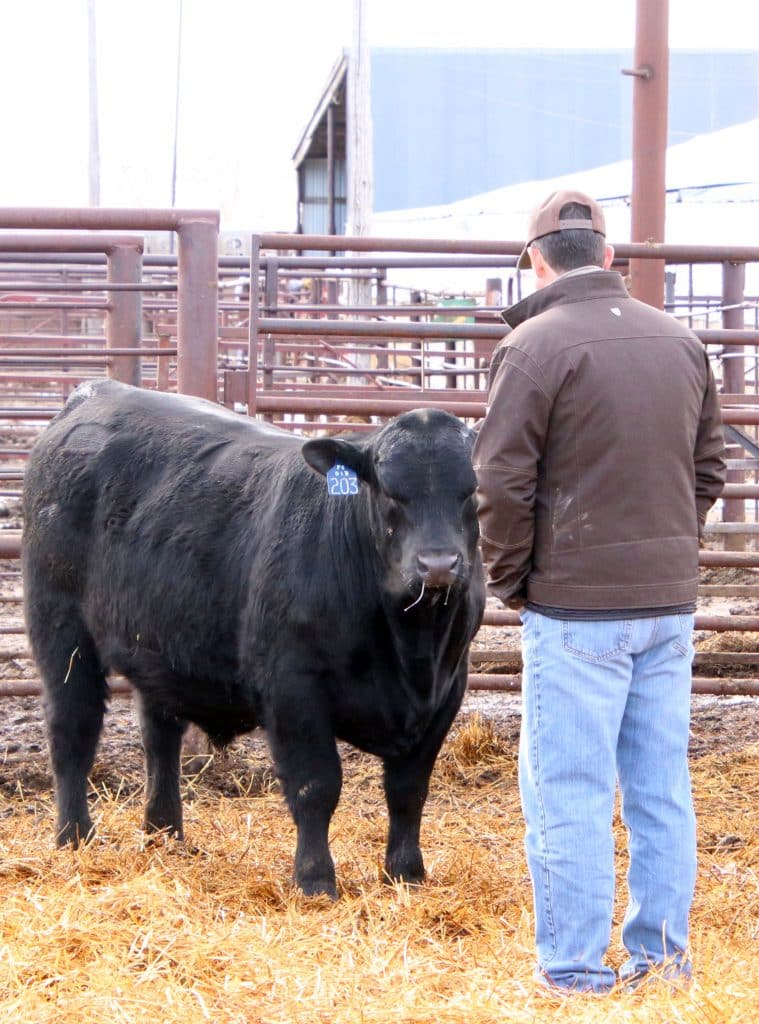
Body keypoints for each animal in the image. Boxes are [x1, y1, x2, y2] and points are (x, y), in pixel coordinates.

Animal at [22, 380, 485, 897]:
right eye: (389, 491)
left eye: (471, 489)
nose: (439, 564)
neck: (411, 642)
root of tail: (95, 391)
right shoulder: (293, 686)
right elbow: (316, 786)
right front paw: (315, 880)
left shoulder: (447, 688)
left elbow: (408, 790)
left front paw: (406, 874)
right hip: (60, 630)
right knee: (72, 730)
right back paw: (74, 838)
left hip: (160, 647)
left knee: (160, 740)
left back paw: (166, 836)